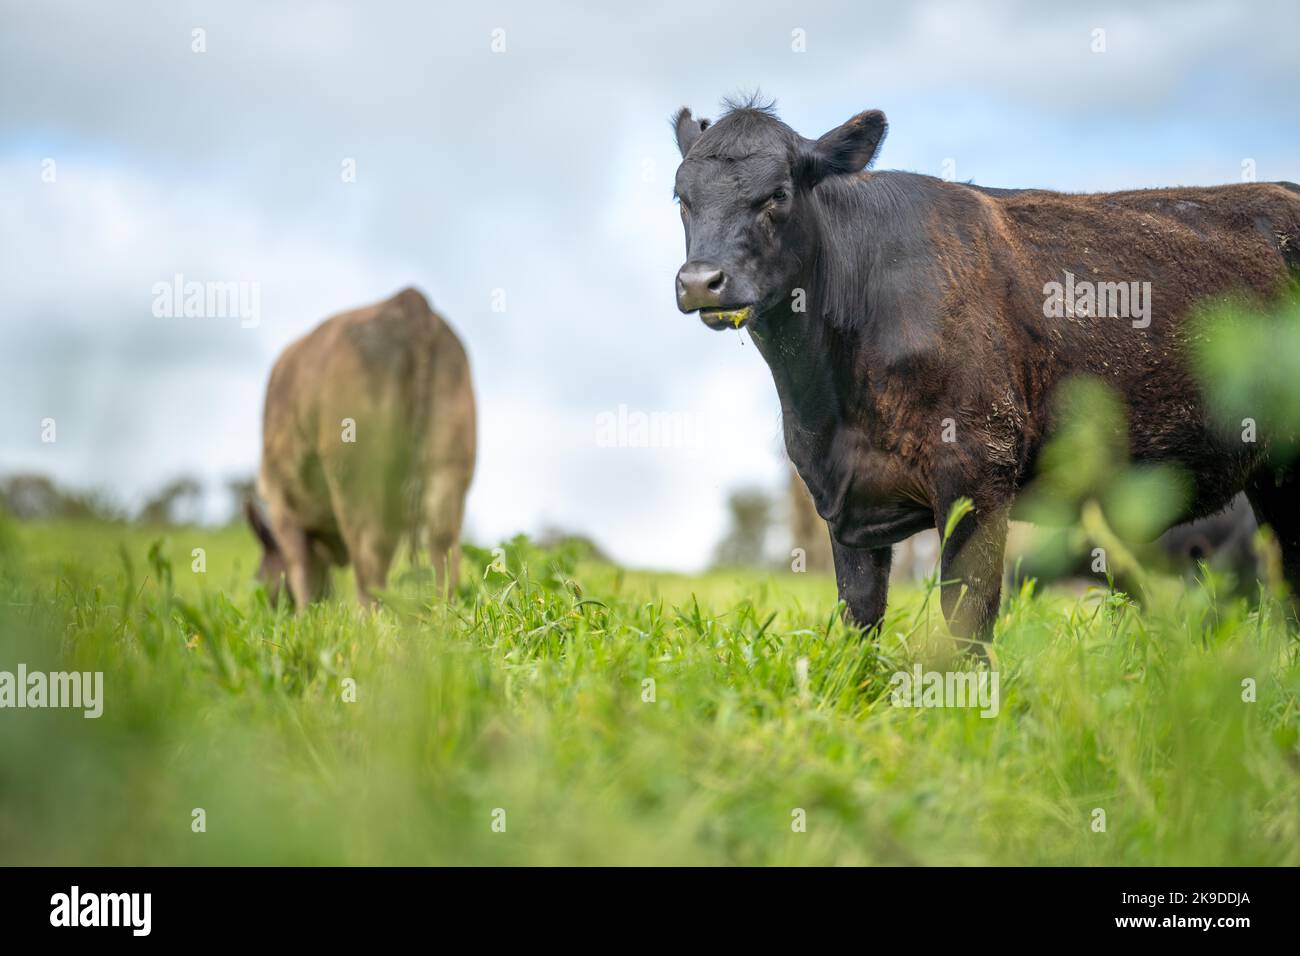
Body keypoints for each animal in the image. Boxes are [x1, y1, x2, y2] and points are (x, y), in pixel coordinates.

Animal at [245, 287, 476, 607]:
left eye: (260, 579)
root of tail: (407, 301)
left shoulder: (281, 504)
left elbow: (300, 572)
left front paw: (305, 614)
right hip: (448, 466)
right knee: (443, 547)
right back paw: (442, 613)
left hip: (355, 477)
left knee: (371, 556)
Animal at [671, 96, 1300, 651]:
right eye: (680, 198)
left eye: (778, 194)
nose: (701, 281)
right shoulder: (841, 498)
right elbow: (860, 618)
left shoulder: (979, 470)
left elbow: (967, 617)